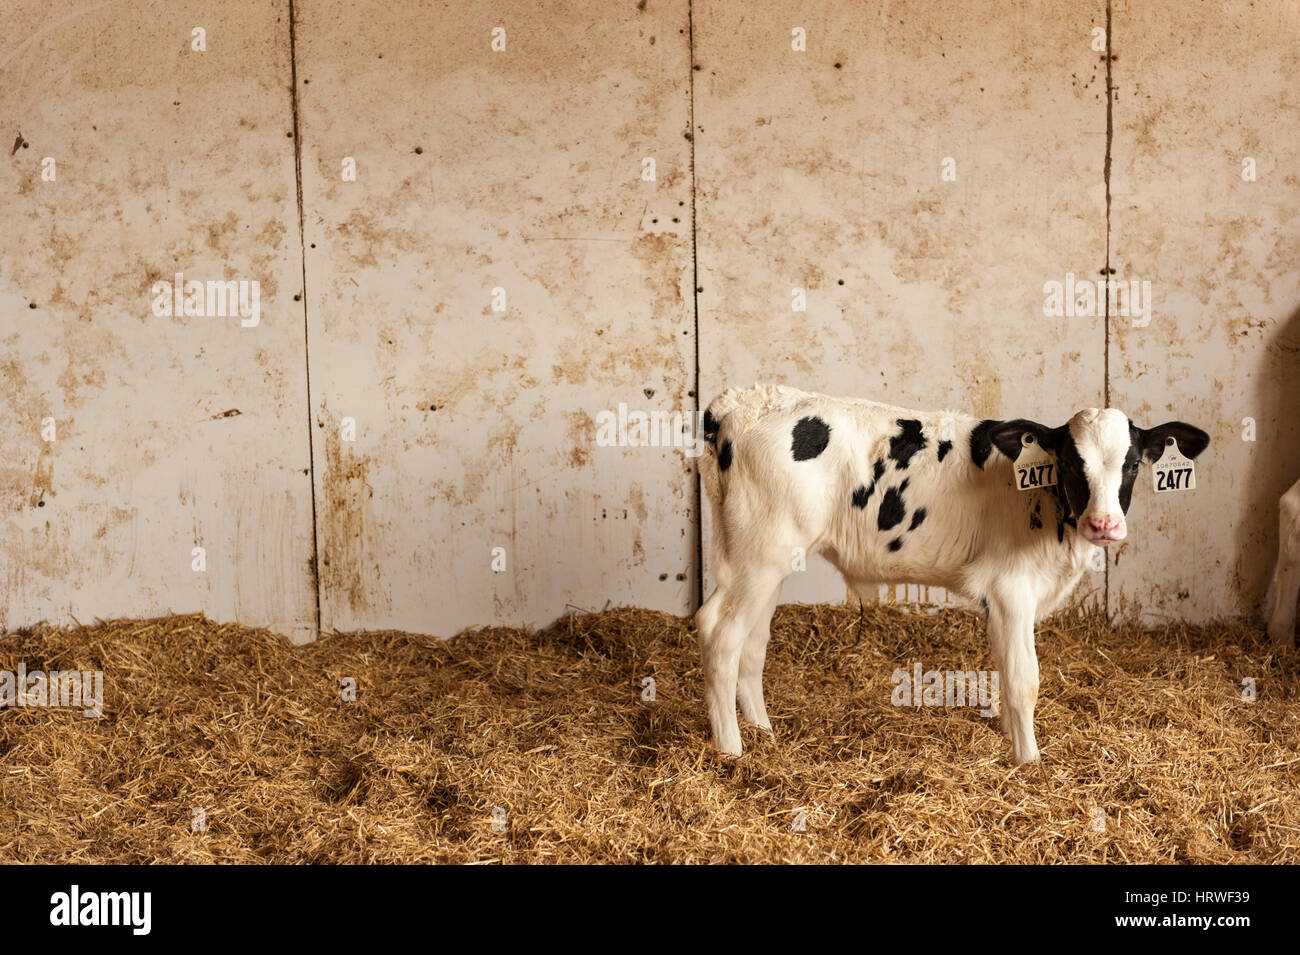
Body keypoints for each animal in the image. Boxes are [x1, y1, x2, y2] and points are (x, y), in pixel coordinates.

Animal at [696, 384, 1210, 764]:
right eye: (1069, 462)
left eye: (1132, 464)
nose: (1104, 524)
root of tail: (741, 401)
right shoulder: (1012, 589)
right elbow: (1023, 679)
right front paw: (1029, 760)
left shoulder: (1003, 600)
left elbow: (1003, 670)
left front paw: (1009, 736)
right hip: (760, 555)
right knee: (719, 633)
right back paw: (732, 750)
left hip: (766, 561)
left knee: (752, 642)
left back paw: (763, 731)